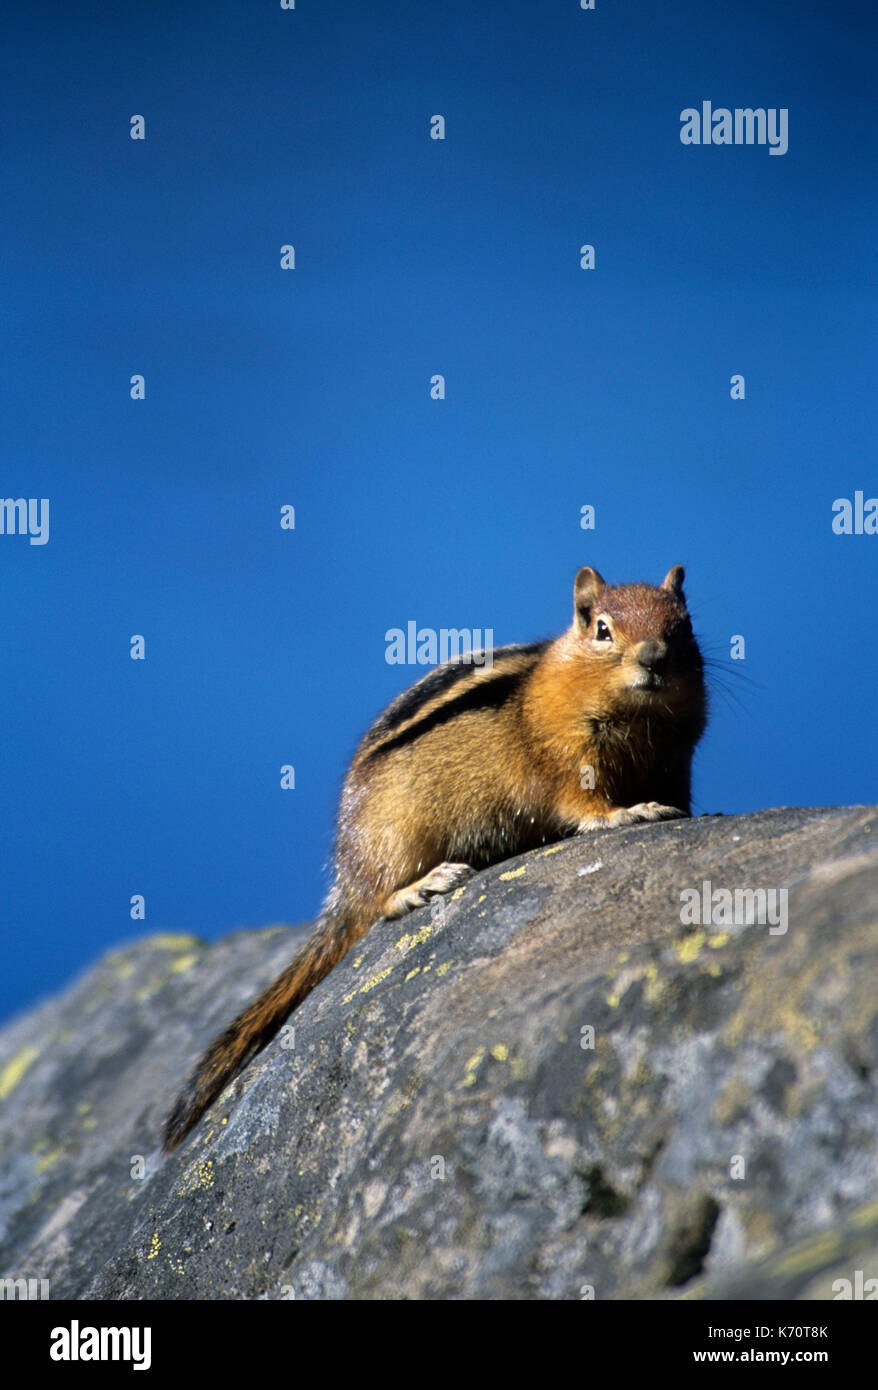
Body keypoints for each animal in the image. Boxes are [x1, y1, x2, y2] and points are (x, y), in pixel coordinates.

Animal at [162, 564, 707, 1152]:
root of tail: (346, 878)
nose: (652, 657)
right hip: (396, 838)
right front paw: (630, 813)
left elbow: (679, 792)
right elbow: (586, 806)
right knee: (377, 903)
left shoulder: (679, 759)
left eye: (682, 625)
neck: (639, 718)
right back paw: (423, 885)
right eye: (602, 629)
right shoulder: (568, 759)